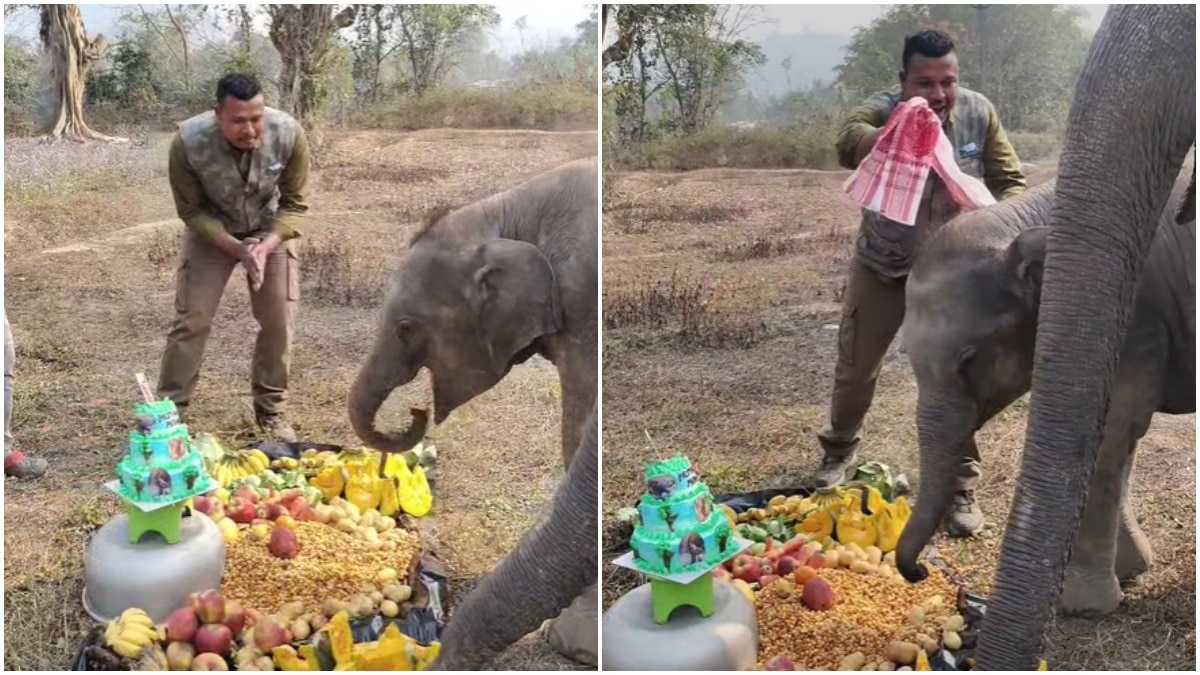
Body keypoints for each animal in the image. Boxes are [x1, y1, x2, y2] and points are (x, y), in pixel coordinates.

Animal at [895, 156, 1194, 609]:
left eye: (969, 360)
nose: (919, 571)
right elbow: (1119, 439)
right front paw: (1133, 571)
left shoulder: (1133, 318)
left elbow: (1112, 429)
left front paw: (1083, 604)